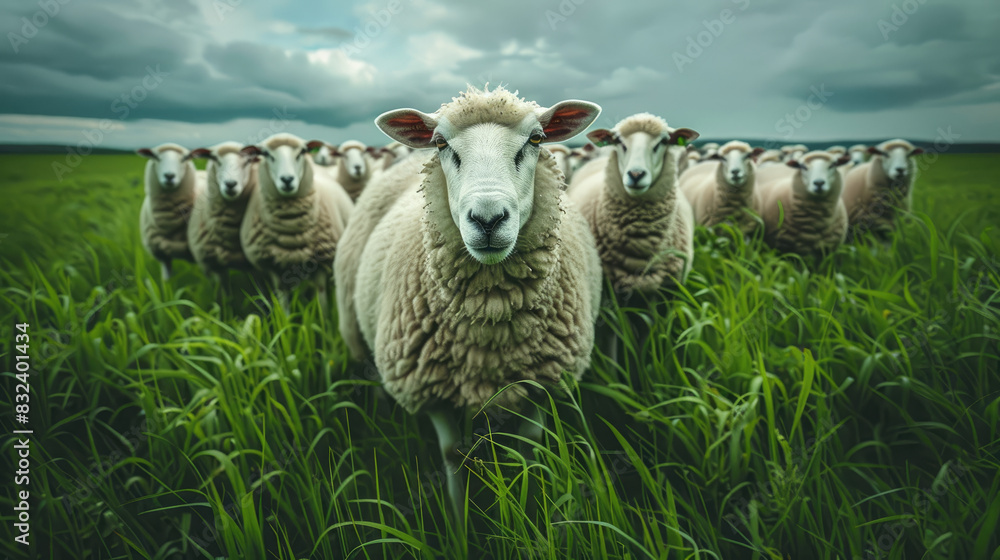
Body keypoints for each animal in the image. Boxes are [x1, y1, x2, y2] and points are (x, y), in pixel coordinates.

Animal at [239, 133, 353, 312]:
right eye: (266, 154)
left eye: (302, 152)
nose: (287, 179)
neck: (290, 229)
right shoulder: (274, 267)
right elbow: (282, 302)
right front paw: (285, 317)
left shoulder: (319, 263)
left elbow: (321, 300)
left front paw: (322, 317)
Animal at [334, 85, 602, 516]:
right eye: (441, 143)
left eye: (536, 139)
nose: (488, 219)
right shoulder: (432, 392)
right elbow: (452, 456)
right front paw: (458, 523)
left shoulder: (542, 385)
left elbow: (527, 455)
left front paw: (527, 510)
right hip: (354, 330)